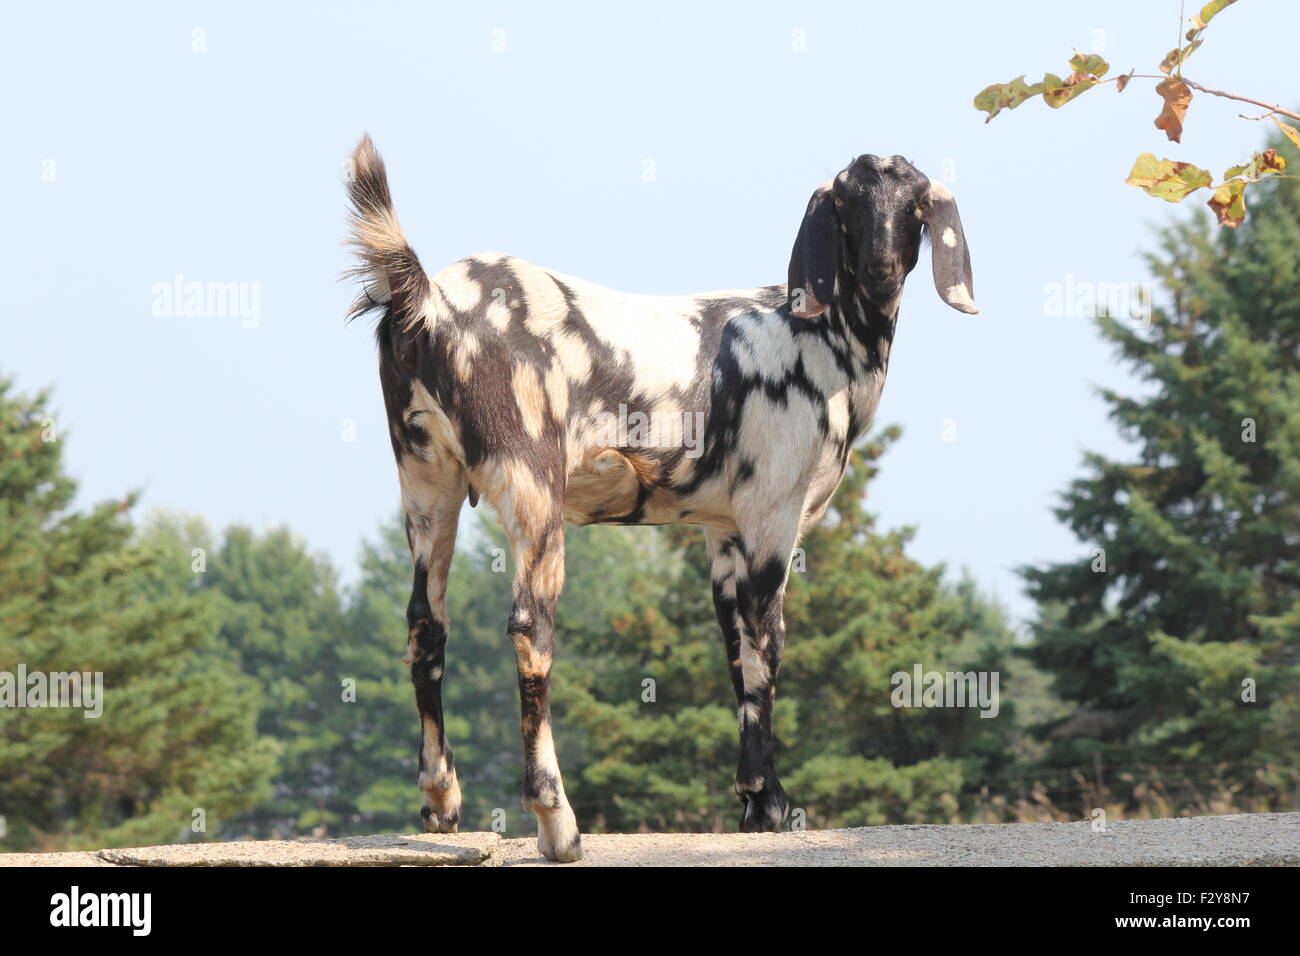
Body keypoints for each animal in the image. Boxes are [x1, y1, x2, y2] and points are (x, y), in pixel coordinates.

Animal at [344, 135, 976, 862]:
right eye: (845, 202)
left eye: (916, 204)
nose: (878, 266)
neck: (823, 339)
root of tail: (430, 301)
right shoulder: (773, 514)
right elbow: (769, 646)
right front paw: (771, 804)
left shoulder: (723, 530)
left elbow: (735, 648)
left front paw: (752, 799)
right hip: (531, 478)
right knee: (531, 625)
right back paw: (557, 821)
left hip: (425, 477)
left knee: (426, 622)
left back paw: (441, 801)